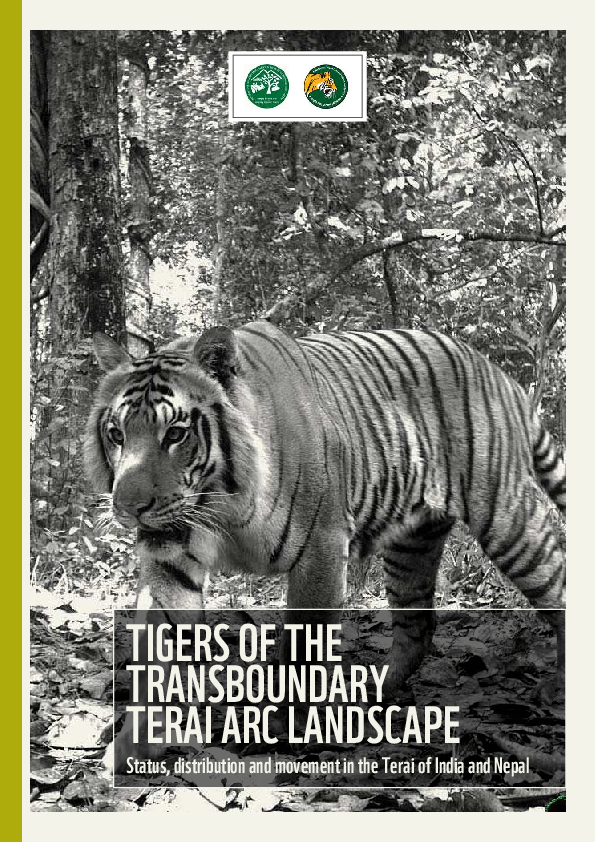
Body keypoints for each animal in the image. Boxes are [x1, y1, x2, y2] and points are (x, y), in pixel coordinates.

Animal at [86, 320, 565, 770]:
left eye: (176, 434)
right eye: (116, 434)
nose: (130, 508)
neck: (222, 499)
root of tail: (497, 372)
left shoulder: (319, 547)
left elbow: (302, 647)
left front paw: (282, 726)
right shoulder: (170, 551)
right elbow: (158, 645)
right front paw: (133, 744)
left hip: (509, 521)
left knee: (556, 584)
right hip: (411, 546)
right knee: (418, 625)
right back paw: (370, 695)